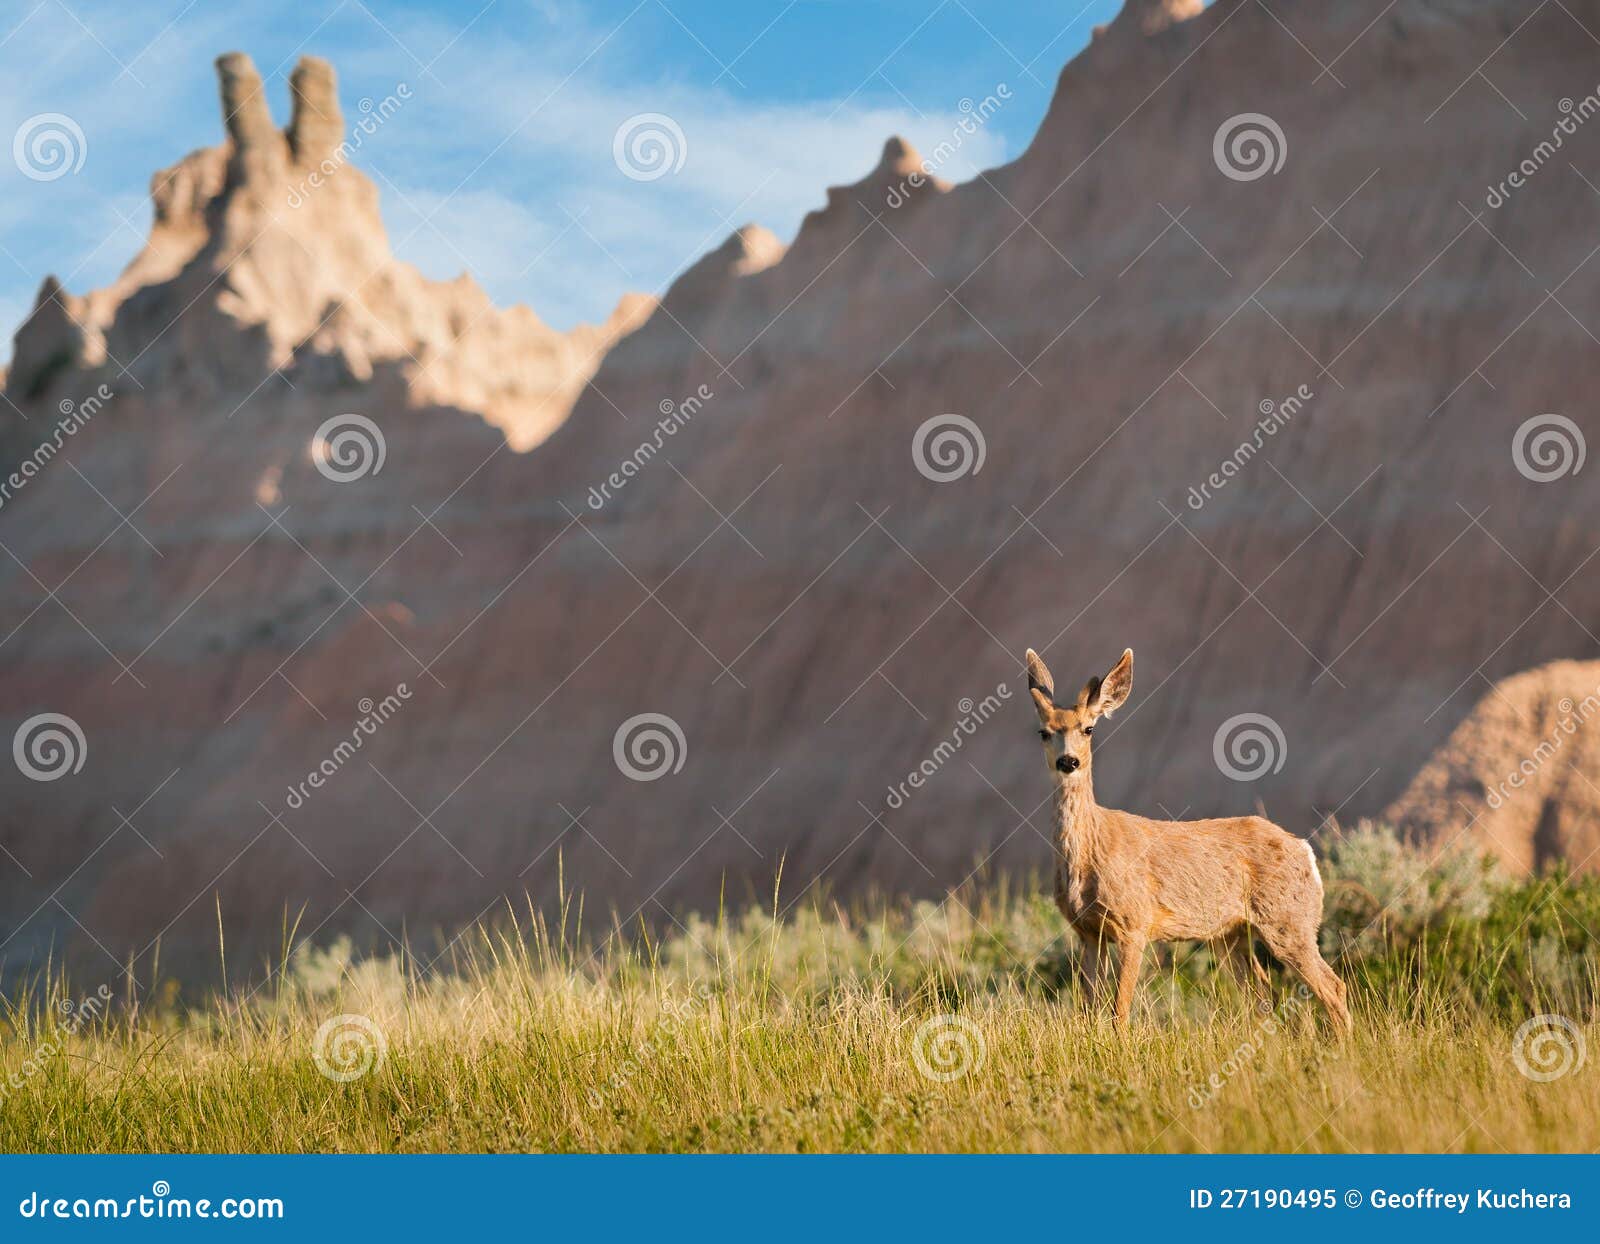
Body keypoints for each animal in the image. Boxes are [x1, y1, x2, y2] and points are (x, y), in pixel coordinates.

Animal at [1024, 646, 1350, 1033]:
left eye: (1088, 729)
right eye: (1044, 732)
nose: (1068, 761)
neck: (1091, 851)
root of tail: (1306, 851)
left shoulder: (1135, 922)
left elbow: (1120, 1009)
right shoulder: (1087, 931)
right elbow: (1088, 1009)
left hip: (1288, 917)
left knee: (1333, 986)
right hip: (1231, 933)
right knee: (1262, 993)